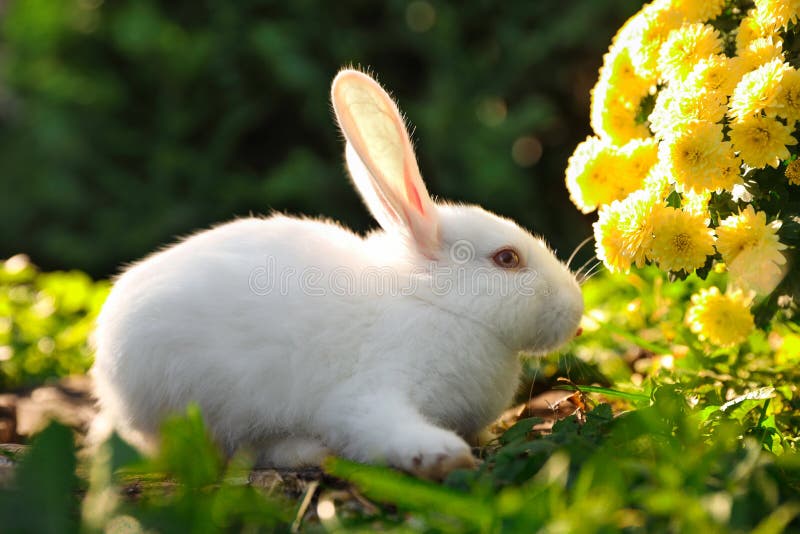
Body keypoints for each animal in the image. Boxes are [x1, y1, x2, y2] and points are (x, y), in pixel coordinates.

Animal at [90, 69, 584, 480]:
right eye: (507, 259)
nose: (576, 310)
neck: (436, 303)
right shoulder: (371, 393)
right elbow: (380, 426)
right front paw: (443, 456)